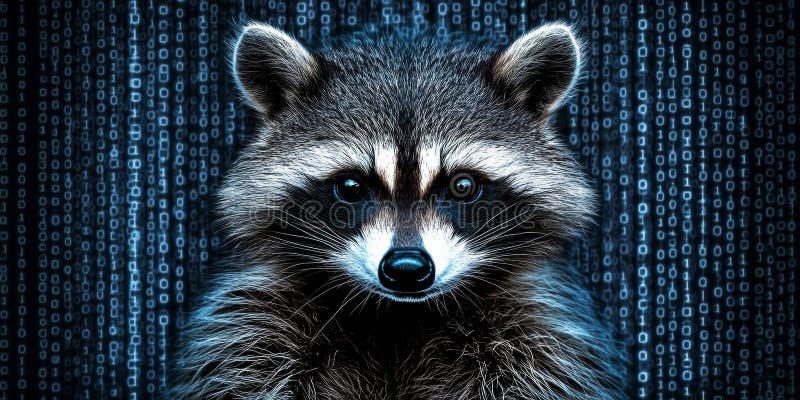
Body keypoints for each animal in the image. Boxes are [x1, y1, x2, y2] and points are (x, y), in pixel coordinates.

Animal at [170, 23, 628, 399]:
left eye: (462, 185)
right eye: (351, 187)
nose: (407, 269)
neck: (399, 318)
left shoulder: (537, 336)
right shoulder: (253, 327)